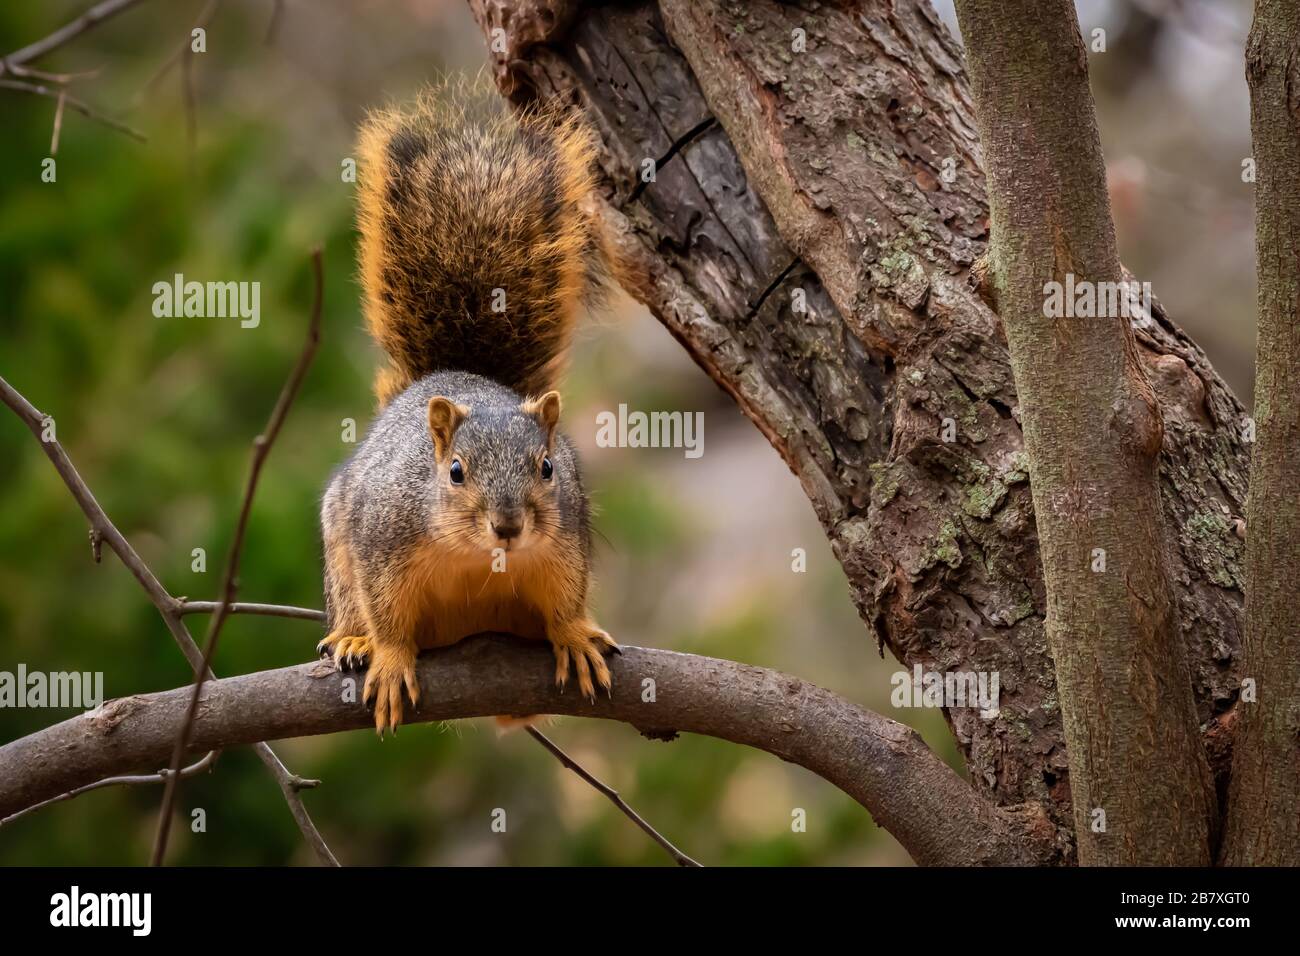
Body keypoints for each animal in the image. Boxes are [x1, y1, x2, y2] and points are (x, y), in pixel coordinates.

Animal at [317, 91, 619, 734]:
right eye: (454, 471)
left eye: (547, 468)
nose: (507, 525)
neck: (481, 558)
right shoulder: (383, 540)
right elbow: (388, 613)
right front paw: (388, 658)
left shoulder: (564, 545)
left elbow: (566, 596)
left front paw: (573, 635)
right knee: (355, 604)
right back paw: (353, 639)